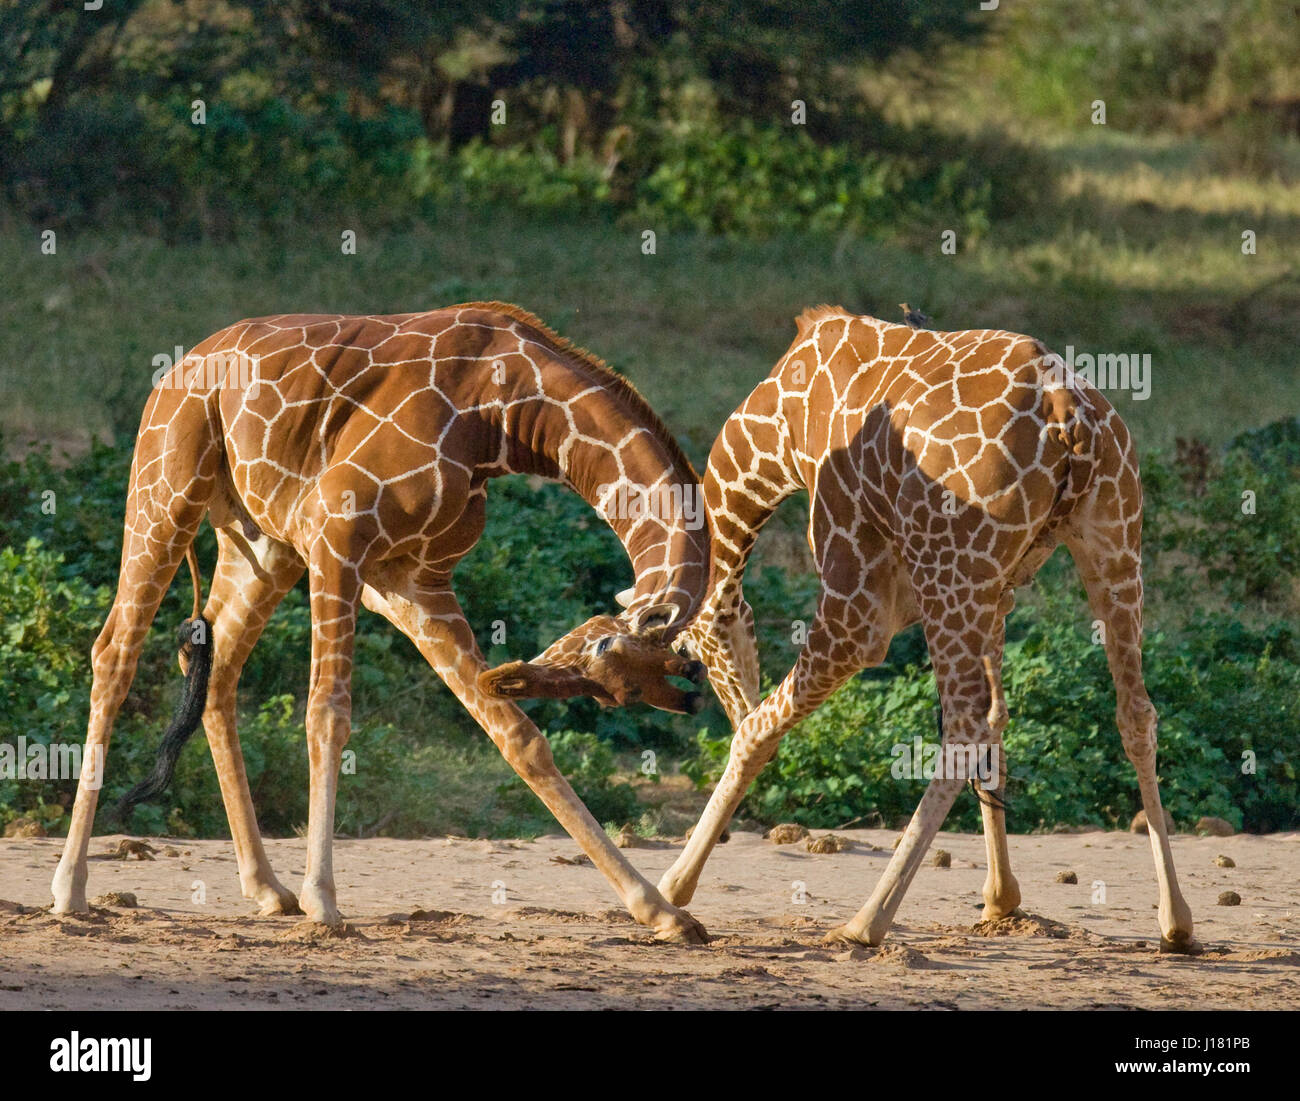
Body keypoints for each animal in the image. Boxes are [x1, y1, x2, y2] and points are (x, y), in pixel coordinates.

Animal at [50, 301, 711, 943]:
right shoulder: (336, 532)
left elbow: (518, 737)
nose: (690, 697)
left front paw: (662, 912)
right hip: (166, 492)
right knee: (114, 652)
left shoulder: (413, 579)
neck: (508, 411)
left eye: (617, 690)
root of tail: (180, 370)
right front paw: (324, 901)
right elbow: (327, 713)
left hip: (260, 542)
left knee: (215, 667)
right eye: (604, 658)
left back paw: (266, 888)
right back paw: (70, 888)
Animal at [649, 305, 1197, 953]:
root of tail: (1070, 414)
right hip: (1111, 543)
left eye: (692, 650)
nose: (730, 704)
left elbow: (761, 731)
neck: (782, 429)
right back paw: (1176, 921)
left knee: (960, 727)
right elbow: (999, 722)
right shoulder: (1000, 592)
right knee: (1133, 713)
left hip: (950, 570)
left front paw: (674, 887)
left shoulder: (857, 604)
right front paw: (1002, 898)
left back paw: (866, 921)